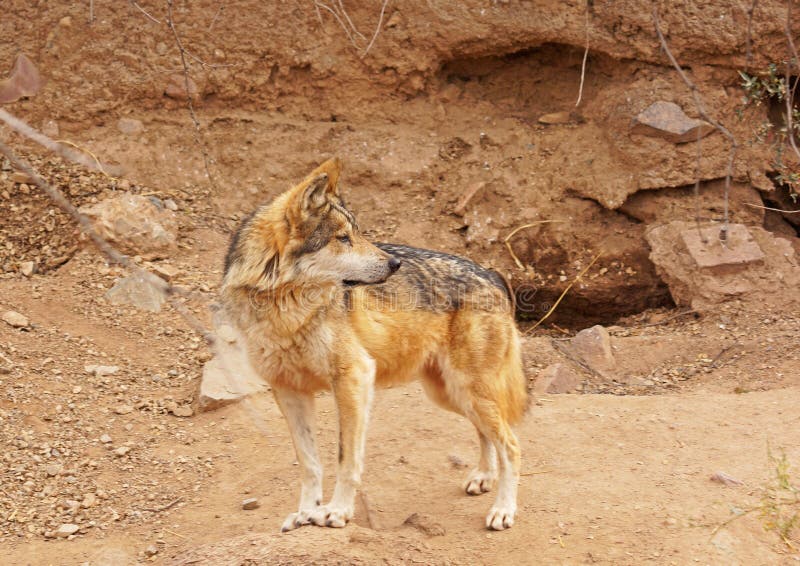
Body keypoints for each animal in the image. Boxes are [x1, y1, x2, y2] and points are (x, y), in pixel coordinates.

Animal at [221, 158, 528, 532]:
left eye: (357, 233)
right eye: (343, 238)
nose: (395, 264)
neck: (286, 309)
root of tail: (490, 272)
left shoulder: (354, 377)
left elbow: (345, 459)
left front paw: (337, 511)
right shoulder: (289, 392)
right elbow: (310, 464)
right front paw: (306, 512)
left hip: (469, 391)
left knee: (511, 444)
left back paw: (504, 510)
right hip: (450, 395)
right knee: (488, 435)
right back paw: (484, 477)